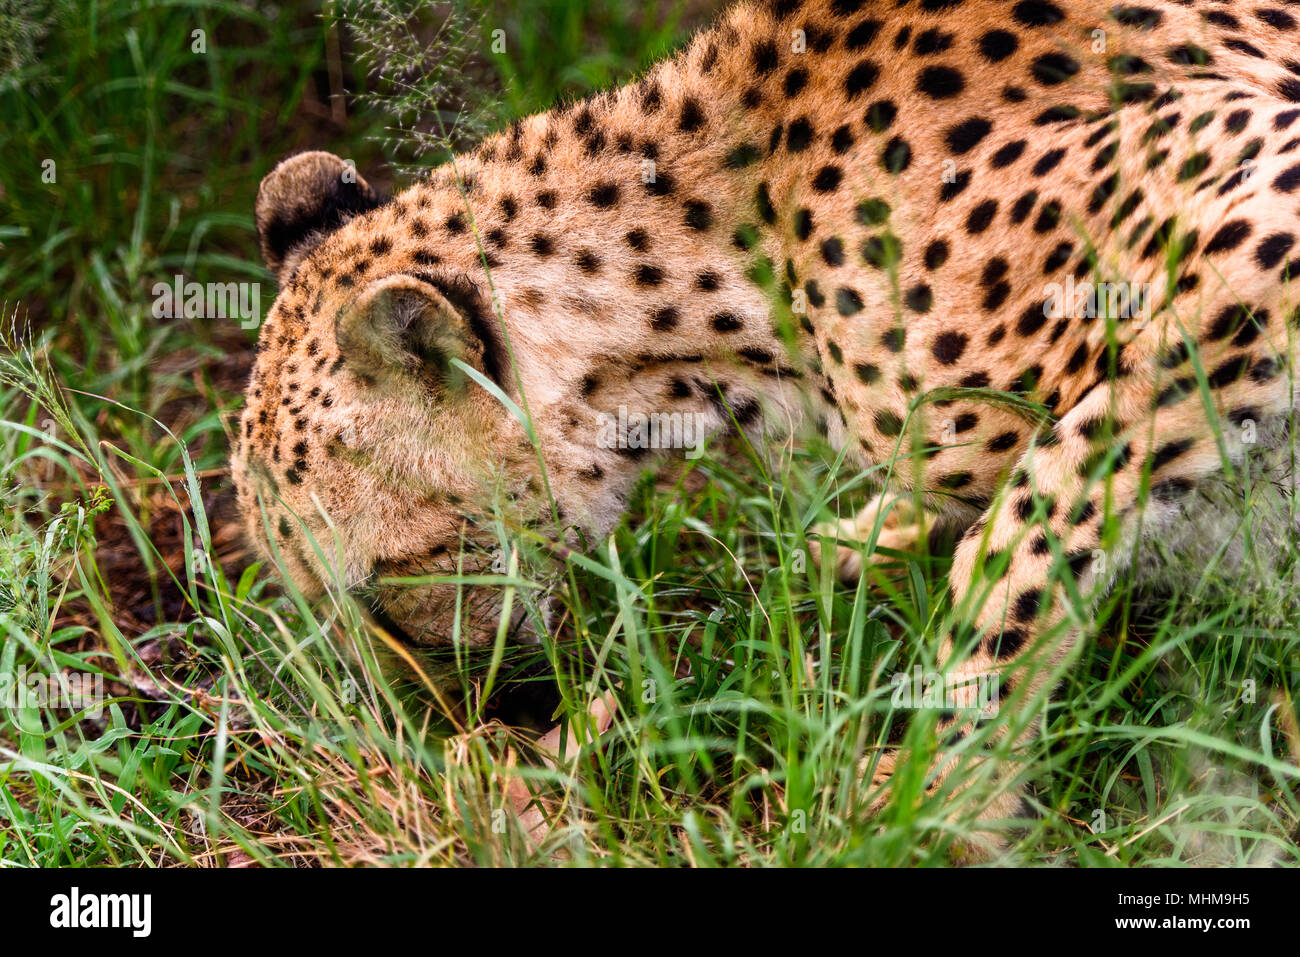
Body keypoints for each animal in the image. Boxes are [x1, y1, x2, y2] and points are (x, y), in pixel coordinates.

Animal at [232, 0, 1300, 849]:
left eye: (388, 577)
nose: (418, 727)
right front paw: (842, 557)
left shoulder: (1259, 202)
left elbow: (1038, 524)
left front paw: (940, 787)